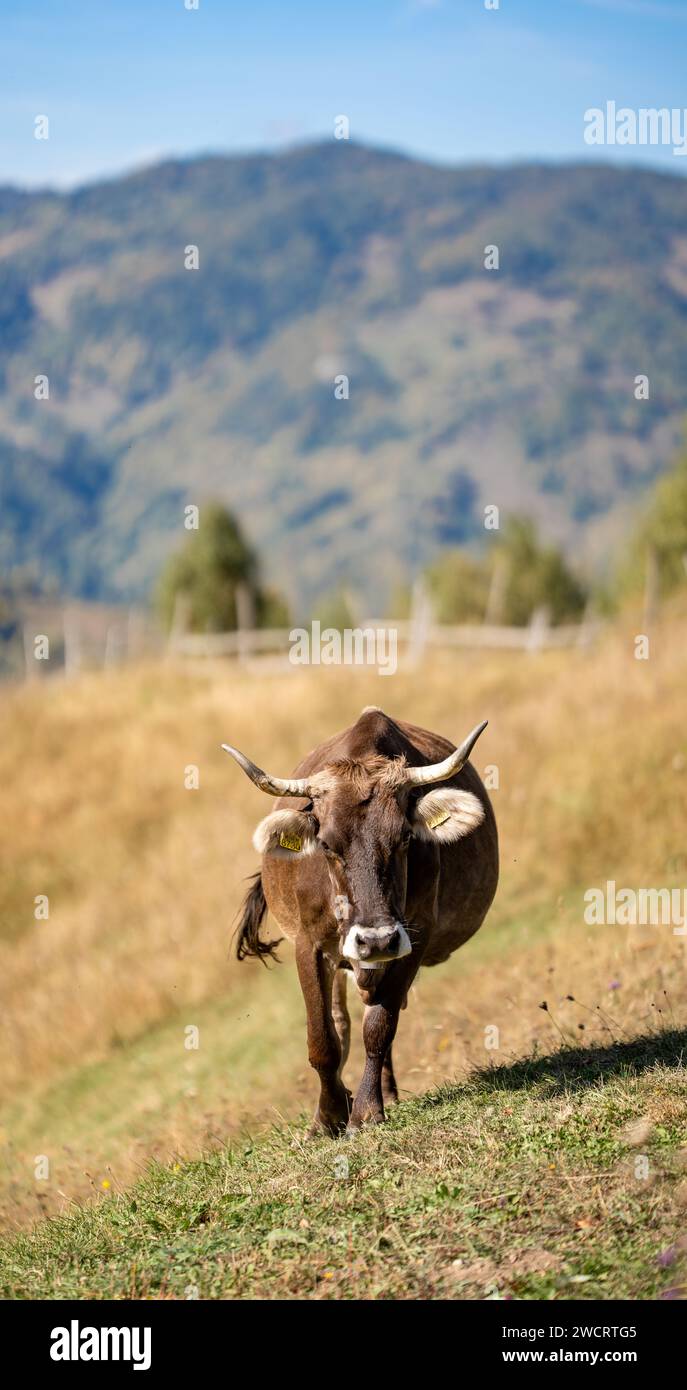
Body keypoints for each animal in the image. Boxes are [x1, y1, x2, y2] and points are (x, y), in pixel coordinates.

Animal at [223, 706, 498, 1137]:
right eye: (327, 844)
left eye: (405, 838)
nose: (377, 940)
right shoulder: (309, 945)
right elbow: (323, 1037)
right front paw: (328, 1115)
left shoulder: (414, 939)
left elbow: (380, 1026)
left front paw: (366, 1110)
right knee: (341, 1018)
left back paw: (386, 1092)